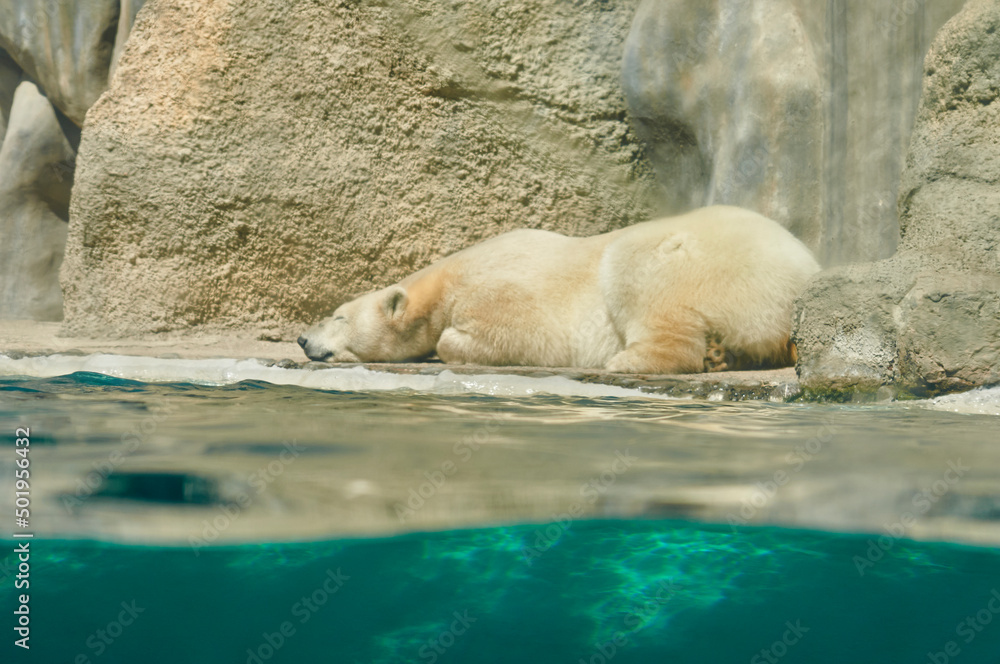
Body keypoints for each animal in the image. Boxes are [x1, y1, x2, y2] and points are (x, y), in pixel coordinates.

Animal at [297, 206, 820, 374]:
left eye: (338, 315)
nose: (302, 338)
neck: (443, 284)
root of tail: (804, 271)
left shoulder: (505, 288)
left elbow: (514, 334)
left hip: (702, 258)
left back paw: (631, 360)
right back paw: (722, 357)